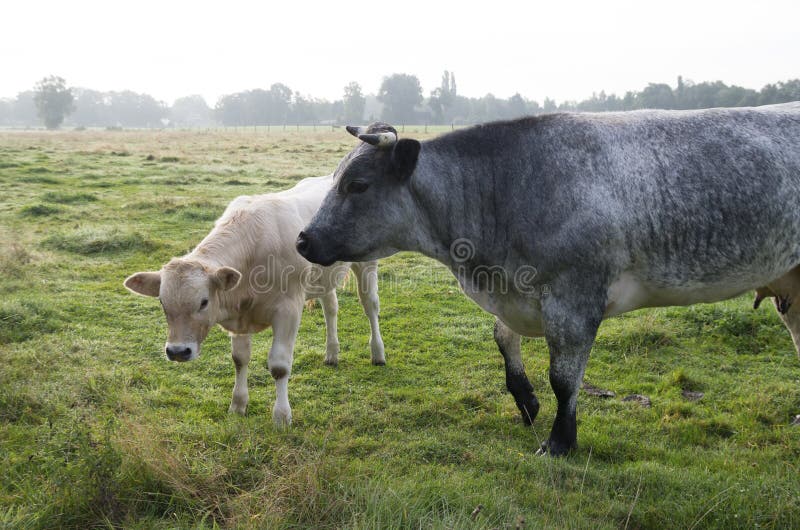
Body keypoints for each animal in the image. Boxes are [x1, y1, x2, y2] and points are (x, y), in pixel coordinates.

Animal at [124, 175, 386, 426]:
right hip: (323, 277)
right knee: (331, 308)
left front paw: (281, 416)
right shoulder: (240, 316)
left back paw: (377, 353)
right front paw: (238, 405)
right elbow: (240, 359)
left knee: (370, 306)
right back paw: (332, 353)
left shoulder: (289, 309)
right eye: (162, 303)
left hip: (366, 265)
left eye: (204, 302)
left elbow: (279, 366)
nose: (178, 351)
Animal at [296, 103, 800, 456]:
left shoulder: (574, 298)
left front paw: (561, 440)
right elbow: (504, 342)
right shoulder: (515, 294)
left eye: (358, 185)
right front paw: (526, 399)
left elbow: (564, 379)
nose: (303, 239)